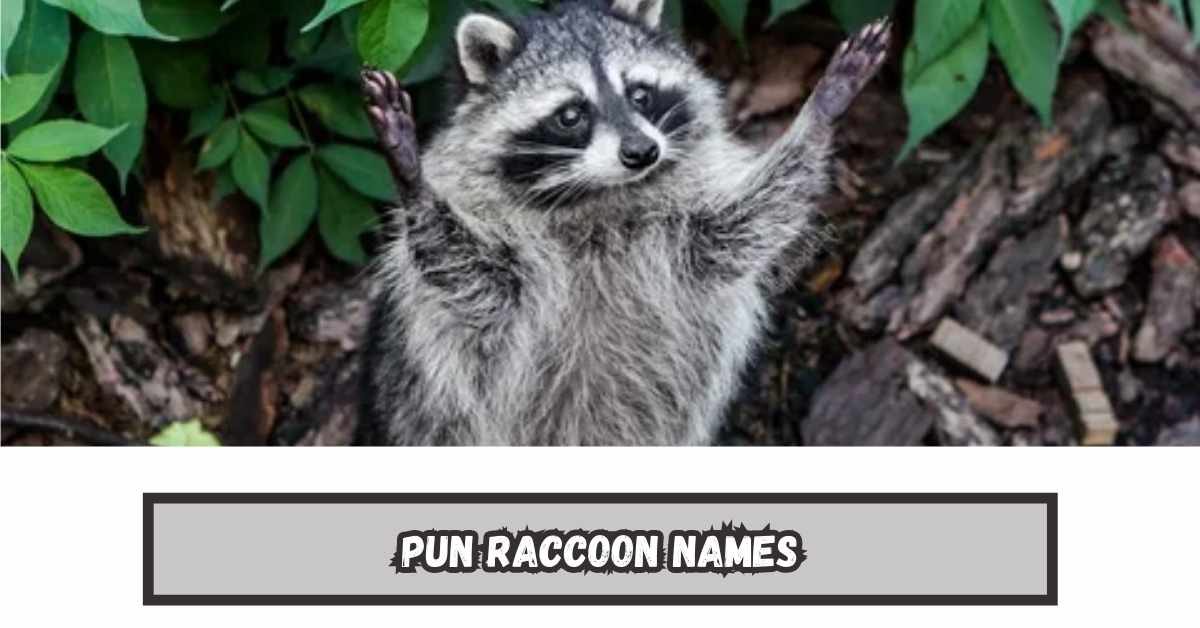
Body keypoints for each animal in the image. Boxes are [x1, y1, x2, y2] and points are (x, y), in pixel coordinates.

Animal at [357, 0, 890, 445]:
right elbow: (463, 274)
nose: (642, 152)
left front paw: (819, 114)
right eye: (571, 114)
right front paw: (412, 178)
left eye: (640, 94)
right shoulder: (496, 282)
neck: (600, 199)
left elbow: (742, 228)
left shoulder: (688, 233)